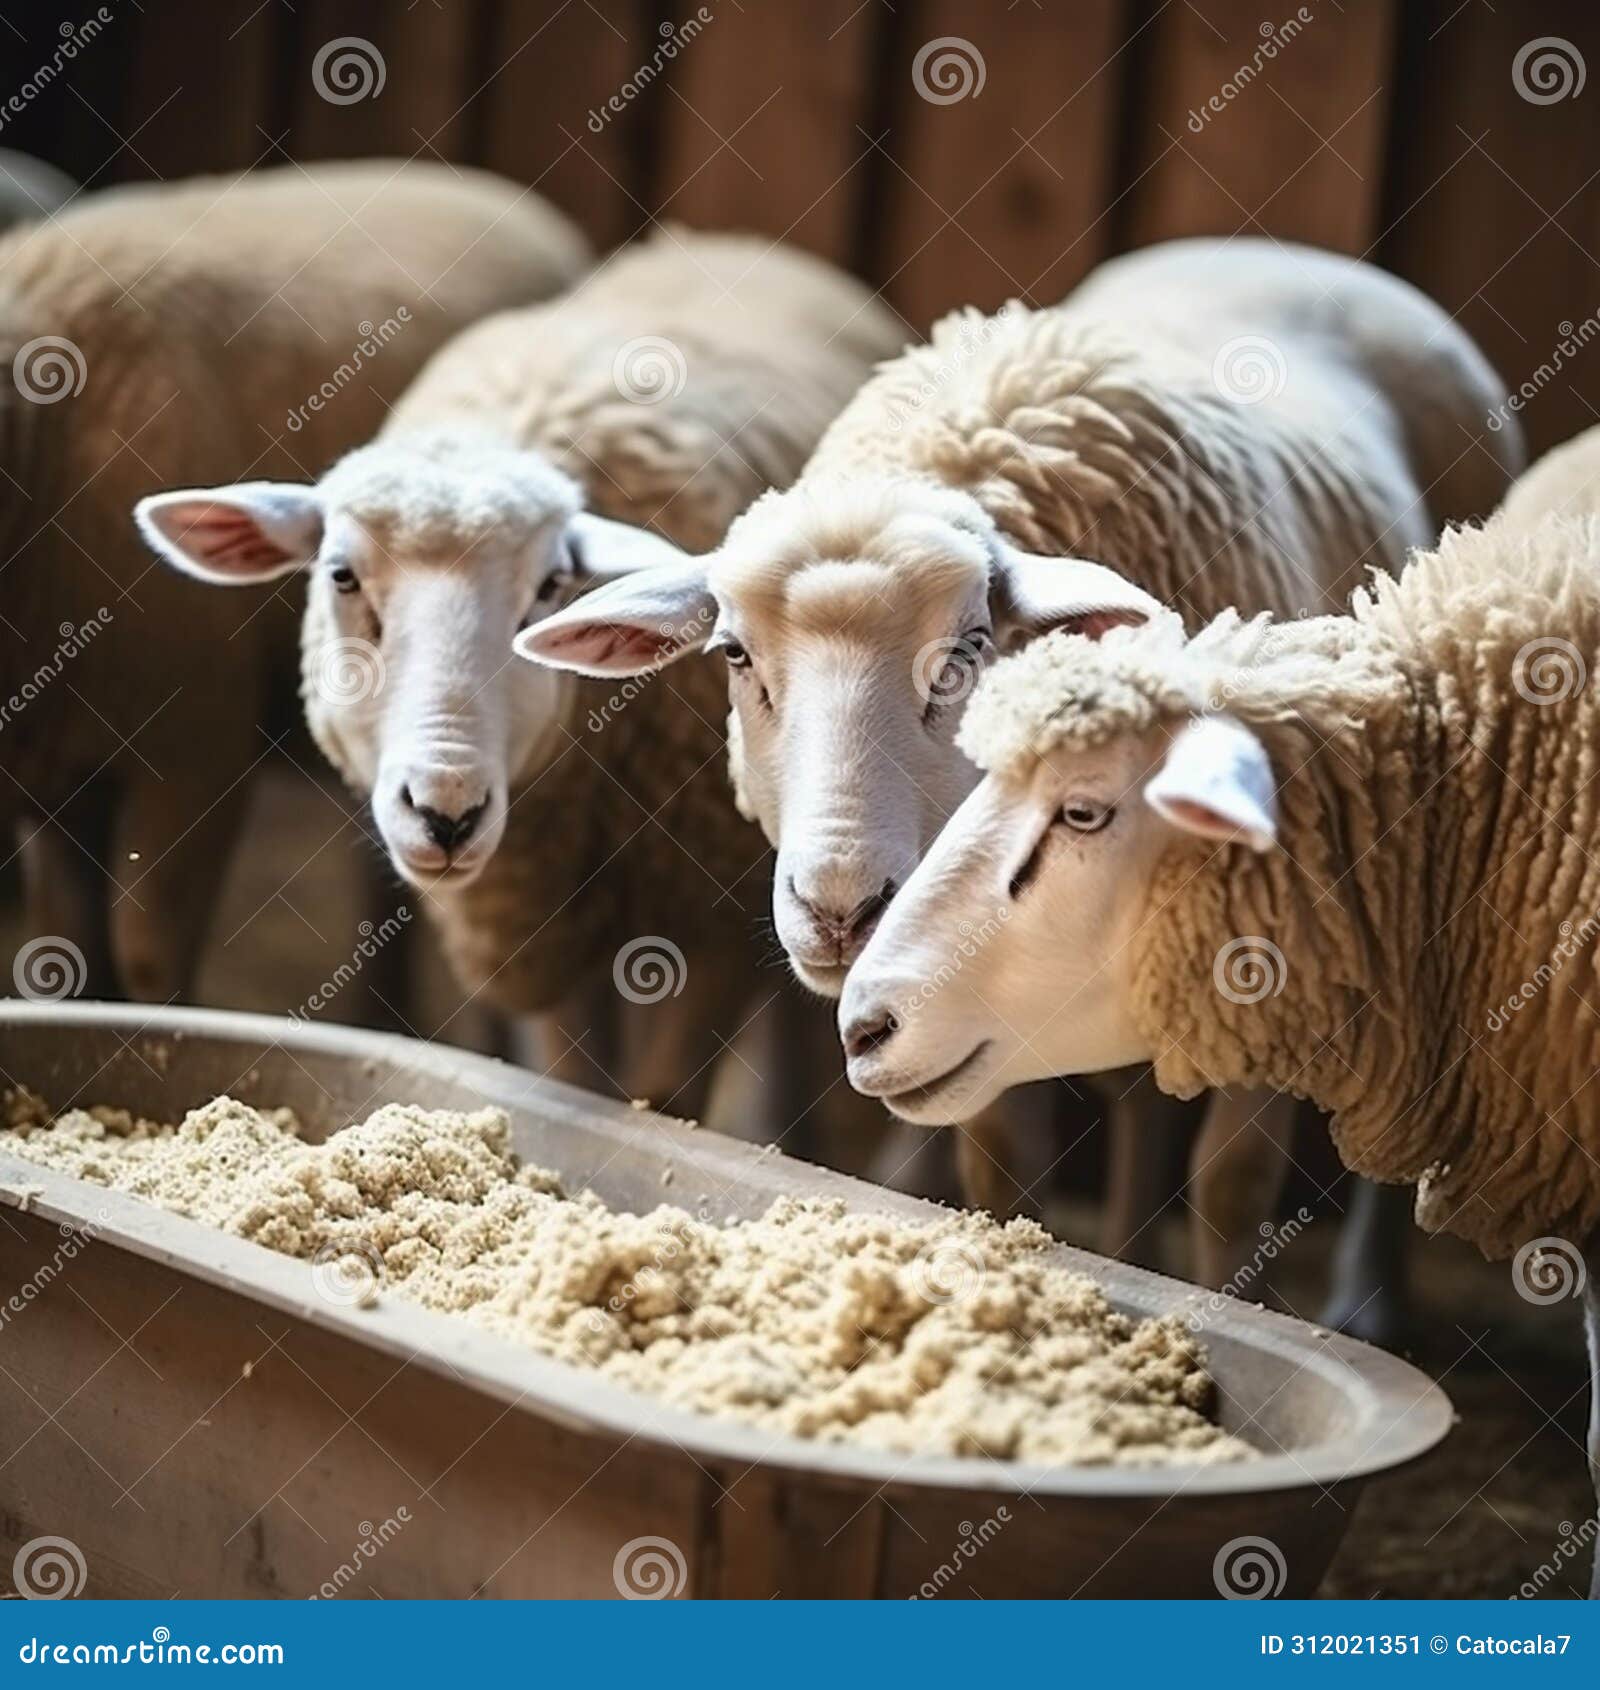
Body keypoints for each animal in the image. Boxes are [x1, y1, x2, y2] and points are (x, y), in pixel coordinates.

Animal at [4, 159, 587, 1006]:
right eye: (339, 573)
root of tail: (490, 189)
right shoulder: (59, 788)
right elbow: (69, 961)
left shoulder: (194, 753)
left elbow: (148, 963)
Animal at [136, 231, 909, 1127]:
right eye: (340, 576)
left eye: (550, 585)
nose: (446, 815)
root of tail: (729, 241)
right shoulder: (546, 927)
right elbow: (573, 1081)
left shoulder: (717, 915)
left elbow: (664, 1098)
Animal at [518, 236, 1523, 1283]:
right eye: (733, 655)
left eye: (967, 652)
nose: (840, 914)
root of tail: (1273, 251)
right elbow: (1002, 1161)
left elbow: (1232, 1182)